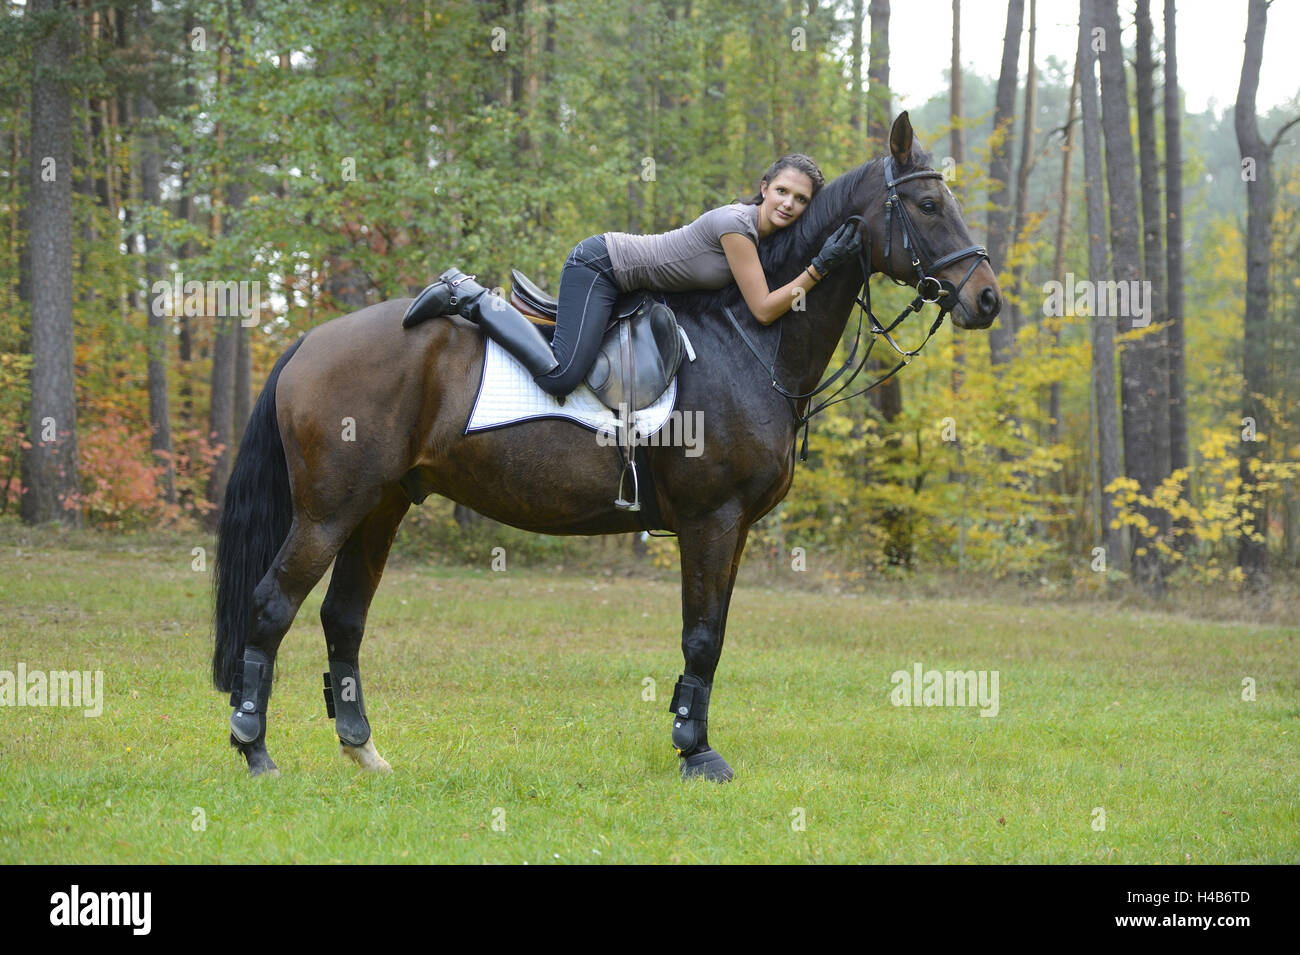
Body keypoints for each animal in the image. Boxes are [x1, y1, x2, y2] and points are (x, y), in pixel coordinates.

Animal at [210, 112, 1001, 781]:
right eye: (927, 205)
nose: (987, 298)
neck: (750, 339)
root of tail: (309, 340)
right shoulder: (711, 521)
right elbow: (701, 637)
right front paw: (696, 753)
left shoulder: (736, 529)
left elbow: (713, 636)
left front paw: (691, 736)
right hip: (328, 512)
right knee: (270, 606)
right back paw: (254, 749)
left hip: (379, 507)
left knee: (342, 617)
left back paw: (364, 750)